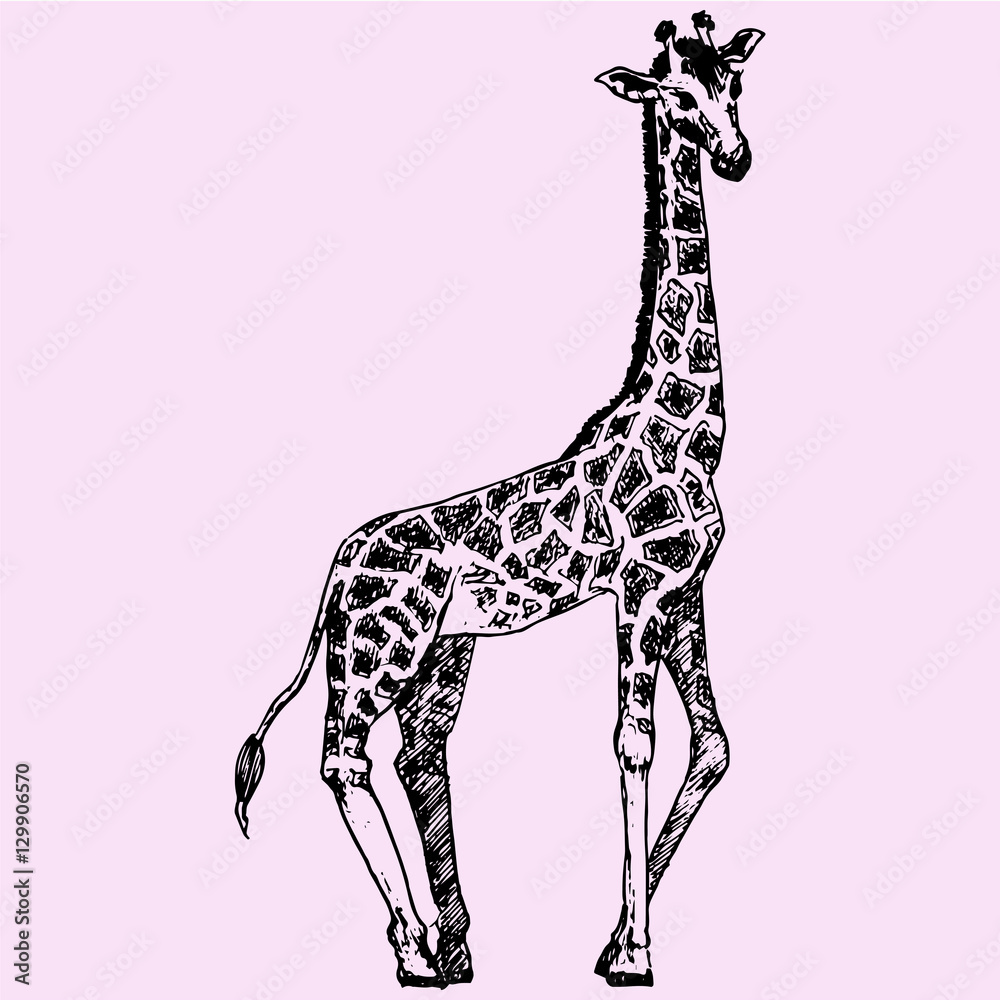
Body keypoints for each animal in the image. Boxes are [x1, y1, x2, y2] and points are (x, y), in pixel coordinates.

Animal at [235, 13, 764, 988]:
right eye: (676, 96)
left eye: (733, 85)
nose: (737, 156)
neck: (689, 427)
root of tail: (334, 572)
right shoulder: (640, 589)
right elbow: (634, 742)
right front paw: (635, 953)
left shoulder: (687, 590)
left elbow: (712, 744)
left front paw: (614, 939)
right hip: (376, 654)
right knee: (340, 757)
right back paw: (414, 948)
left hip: (442, 654)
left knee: (415, 751)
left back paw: (452, 947)